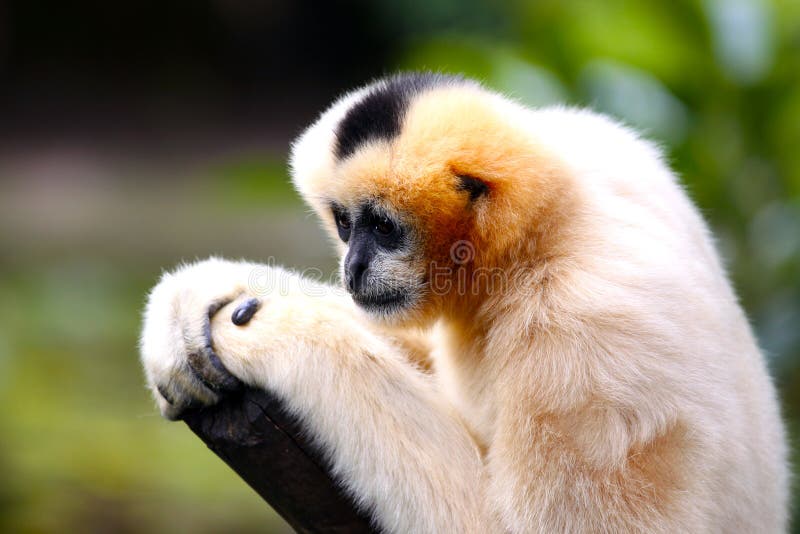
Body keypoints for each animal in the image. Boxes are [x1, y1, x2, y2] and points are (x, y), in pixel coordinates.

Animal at [140, 72, 789, 533]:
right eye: (346, 224)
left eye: (384, 228)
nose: (352, 268)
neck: (546, 231)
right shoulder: (612, 147)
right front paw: (193, 295)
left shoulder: (590, 344)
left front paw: (273, 328)